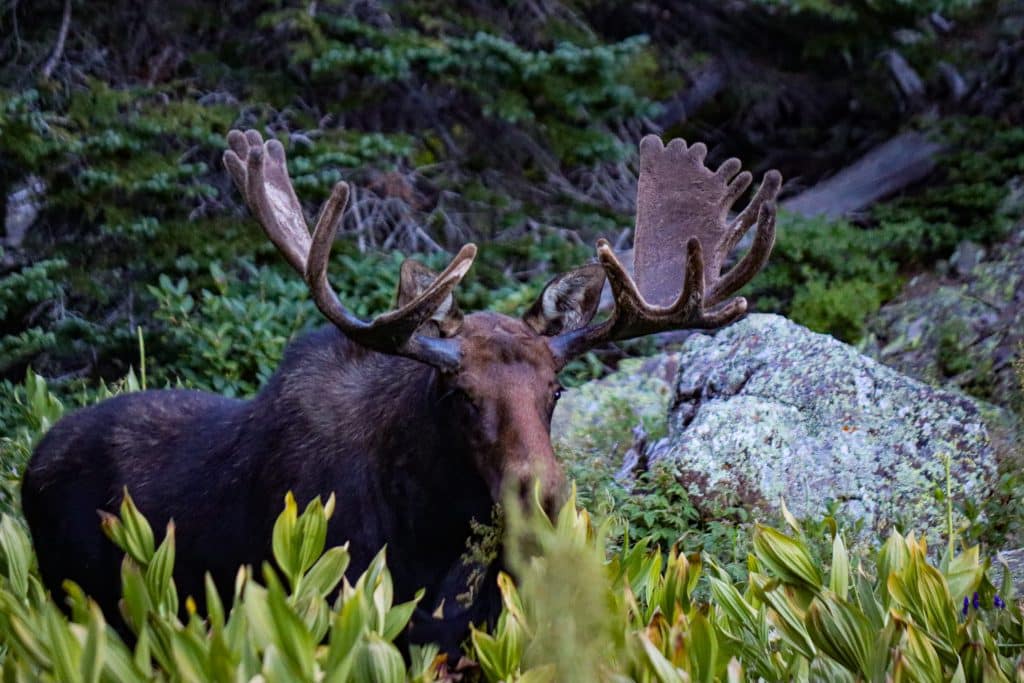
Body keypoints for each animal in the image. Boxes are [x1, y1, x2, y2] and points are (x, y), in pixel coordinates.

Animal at [21, 130, 781, 657]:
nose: (543, 495)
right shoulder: (327, 607)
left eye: (557, 388)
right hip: (82, 604)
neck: (430, 533)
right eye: (457, 391)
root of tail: (30, 461)